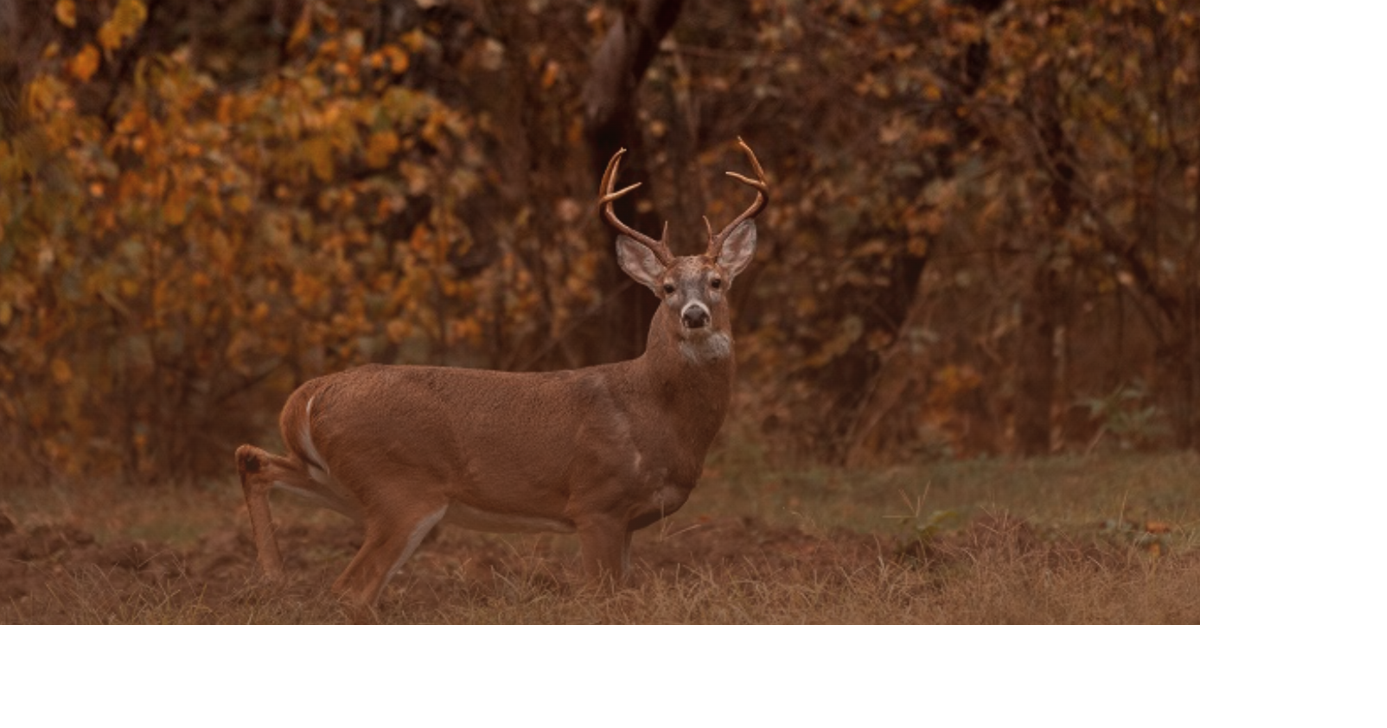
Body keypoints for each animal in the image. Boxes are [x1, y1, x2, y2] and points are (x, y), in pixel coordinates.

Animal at [234, 139, 769, 616]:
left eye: (717, 282)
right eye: (667, 288)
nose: (695, 315)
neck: (655, 413)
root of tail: (308, 396)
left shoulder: (630, 521)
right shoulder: (595, 502)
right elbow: (602, 599)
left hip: (342, 483)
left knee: (253, 459)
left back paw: (273, 577)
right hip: (400, 488)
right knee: (350, 589)